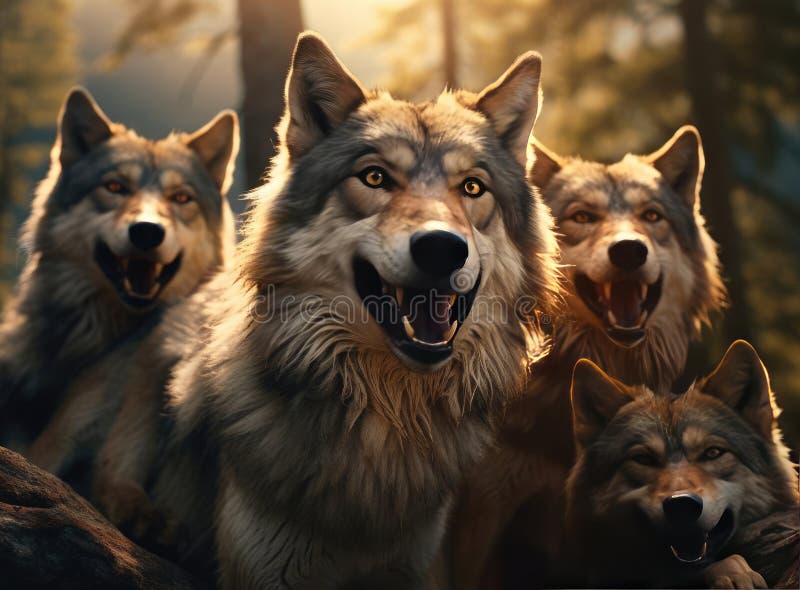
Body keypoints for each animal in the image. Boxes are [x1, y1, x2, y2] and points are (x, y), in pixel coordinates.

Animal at [95, 31, 561, 589]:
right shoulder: (263, 571)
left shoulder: (411, 568)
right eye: (375, 178)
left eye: (472, 187)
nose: (442, 248)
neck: (386, 419)